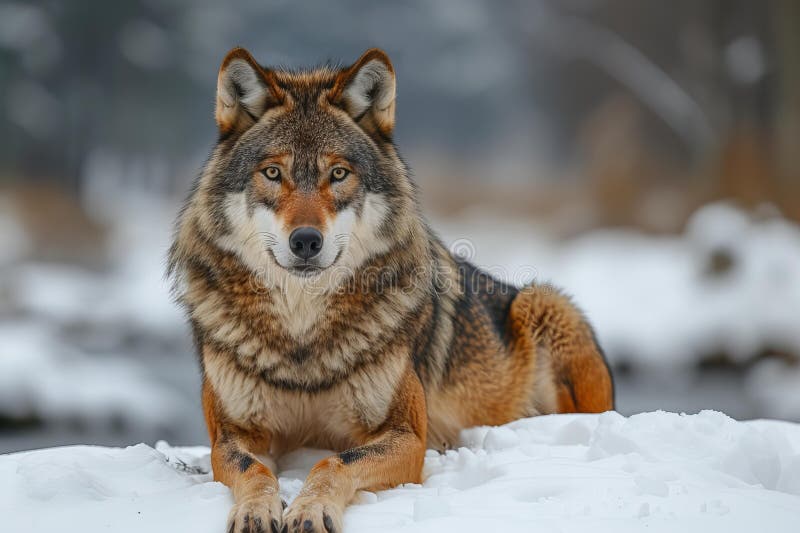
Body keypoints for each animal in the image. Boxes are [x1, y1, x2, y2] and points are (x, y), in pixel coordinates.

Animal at [168, 47, 614, 533]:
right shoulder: (232, 434)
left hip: (545, 304)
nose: (305, 241)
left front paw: (310, 509)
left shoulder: (407, 436)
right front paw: (255, 510)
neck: (303, 339)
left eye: (338, 173)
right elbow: (254, 470)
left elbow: (333, 462)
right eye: (272, 172)